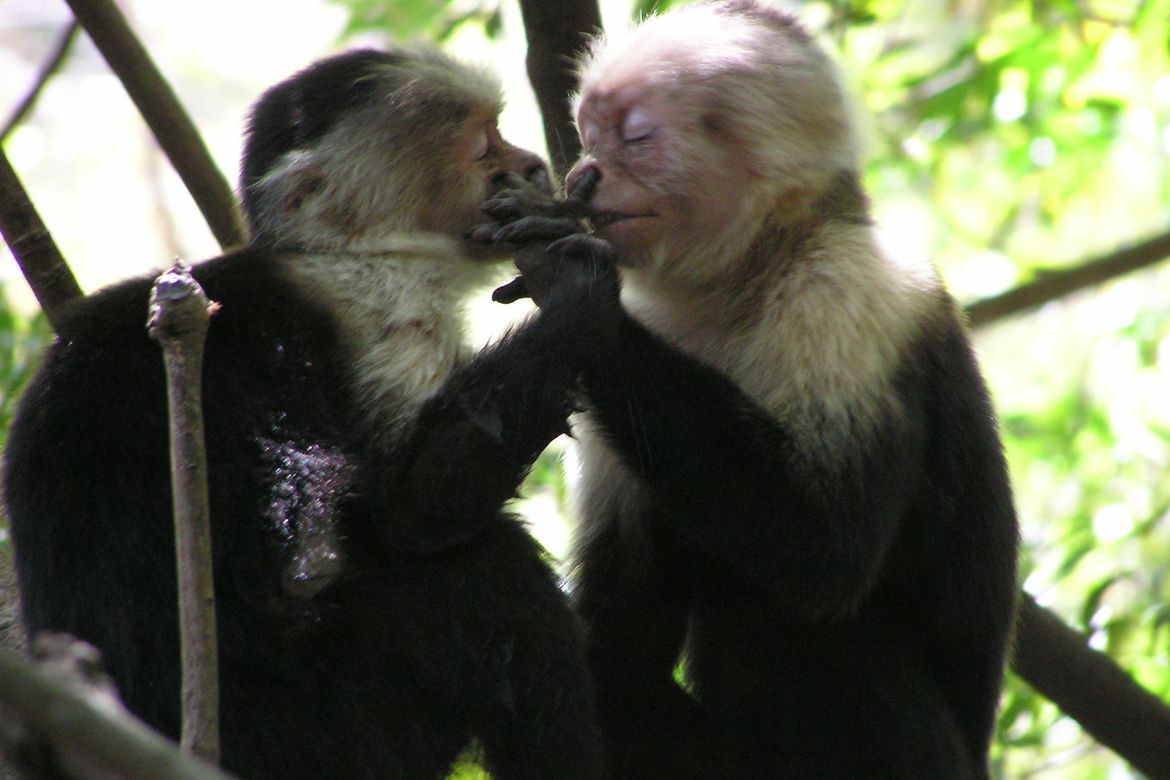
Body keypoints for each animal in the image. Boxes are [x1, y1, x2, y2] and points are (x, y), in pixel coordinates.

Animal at [2, 47, 608, 779]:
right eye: (484, 147)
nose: (533, 165)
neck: (348, 254)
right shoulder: (387, 311)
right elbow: (401, 515)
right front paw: (574, 288)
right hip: (324, 735)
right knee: (491, 574)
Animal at [482, 2, 1020, 777]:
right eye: (587, 135)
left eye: (635, 138)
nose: (583, 169)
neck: (747, 275)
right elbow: (616, 642)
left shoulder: (846, 292)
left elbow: (826, 544)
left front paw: (568, 276)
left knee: (776, 620)